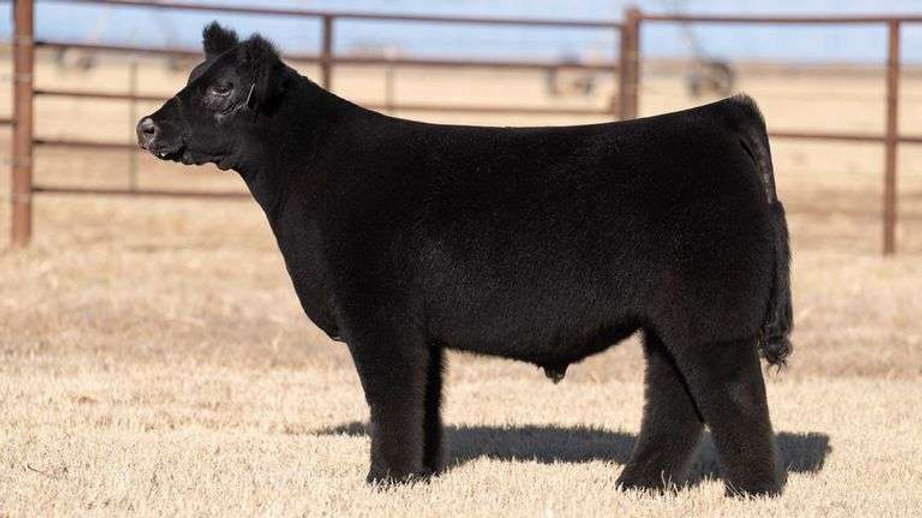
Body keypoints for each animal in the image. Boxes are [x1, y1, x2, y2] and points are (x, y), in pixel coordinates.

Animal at [137, 23, 793, 497]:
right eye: (194, 76)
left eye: (222, 88)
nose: (147, 127)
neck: (311, 172)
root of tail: (716, 115)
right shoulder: (417, 329)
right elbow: (424, 402)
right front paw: (418, 477)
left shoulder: (378, 315)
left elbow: (392, 397)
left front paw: (383, 481)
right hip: (667, 317)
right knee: (675, 397)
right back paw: (637, 485)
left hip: (711, 315)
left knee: (733, 393)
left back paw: (752, 492)